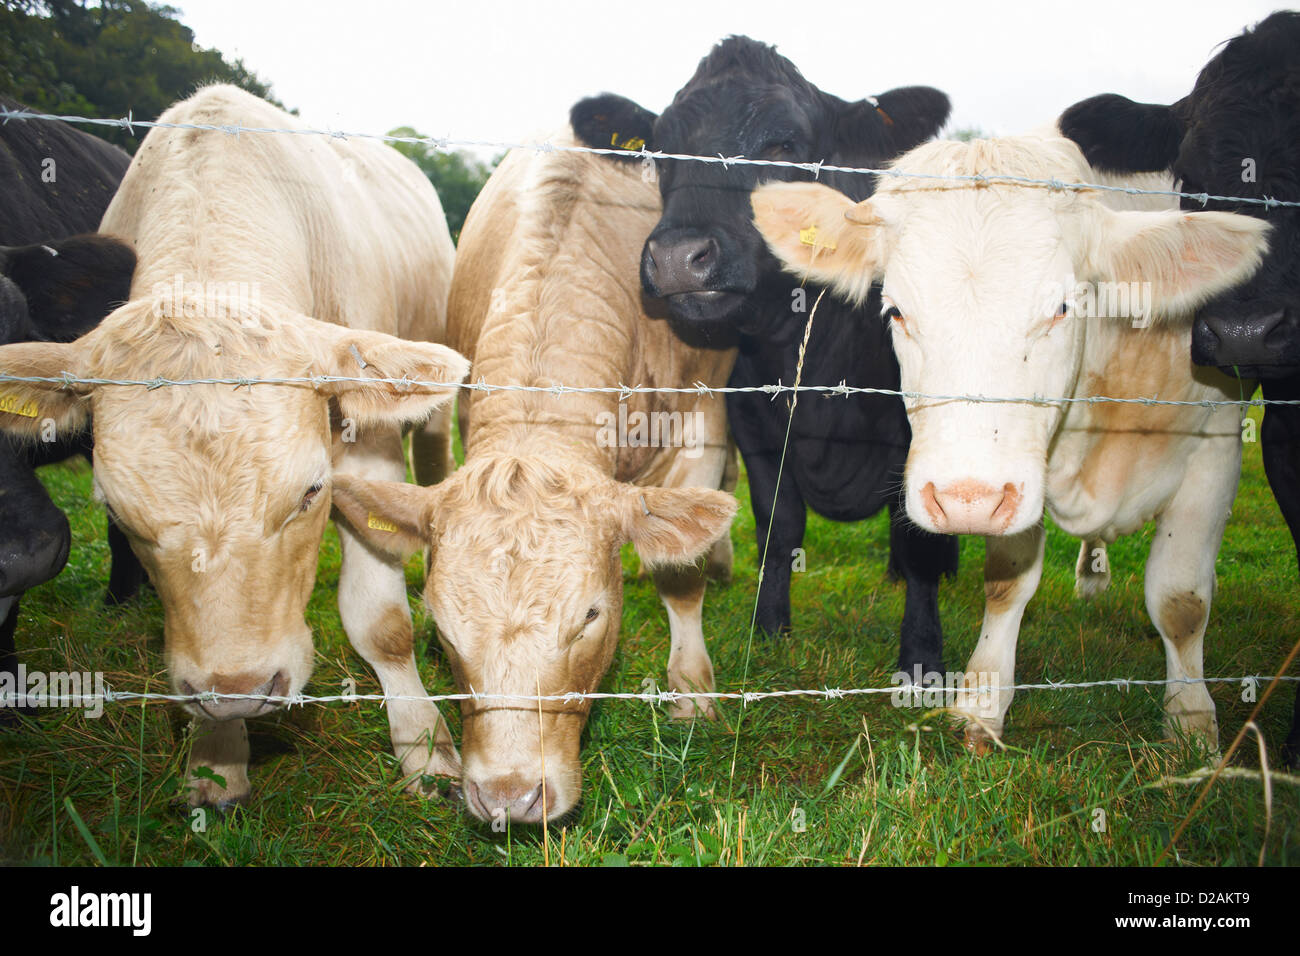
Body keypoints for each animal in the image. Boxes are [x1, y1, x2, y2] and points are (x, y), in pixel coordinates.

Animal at [0, 85, 470, 805]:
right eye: (119, 513)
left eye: (310, 492)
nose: (239, 691)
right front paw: (217, 759)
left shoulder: (367, 448)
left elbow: (381, 624)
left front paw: (422, 745)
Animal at [331, 122, 738, 824]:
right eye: (442, 628)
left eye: (592, 615)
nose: (509, 797)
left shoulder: (702, 422)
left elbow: (680, 578)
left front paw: (691, 688)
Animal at [568, 36, 959, 677]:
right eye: (663, 150)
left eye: (785, 145)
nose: (678, 257)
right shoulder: (753, 421)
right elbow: (779, 526)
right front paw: (770, 626)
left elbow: (918, 534)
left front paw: (922, 657)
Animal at [751, 131, 1268, 751]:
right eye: (895, 311)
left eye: (1063, 308)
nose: (964, 500)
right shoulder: (1017, 484)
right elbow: (1006, 585)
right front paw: (981, 705)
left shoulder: (1215, 447)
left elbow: (1180, 600)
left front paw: (1191, 724)